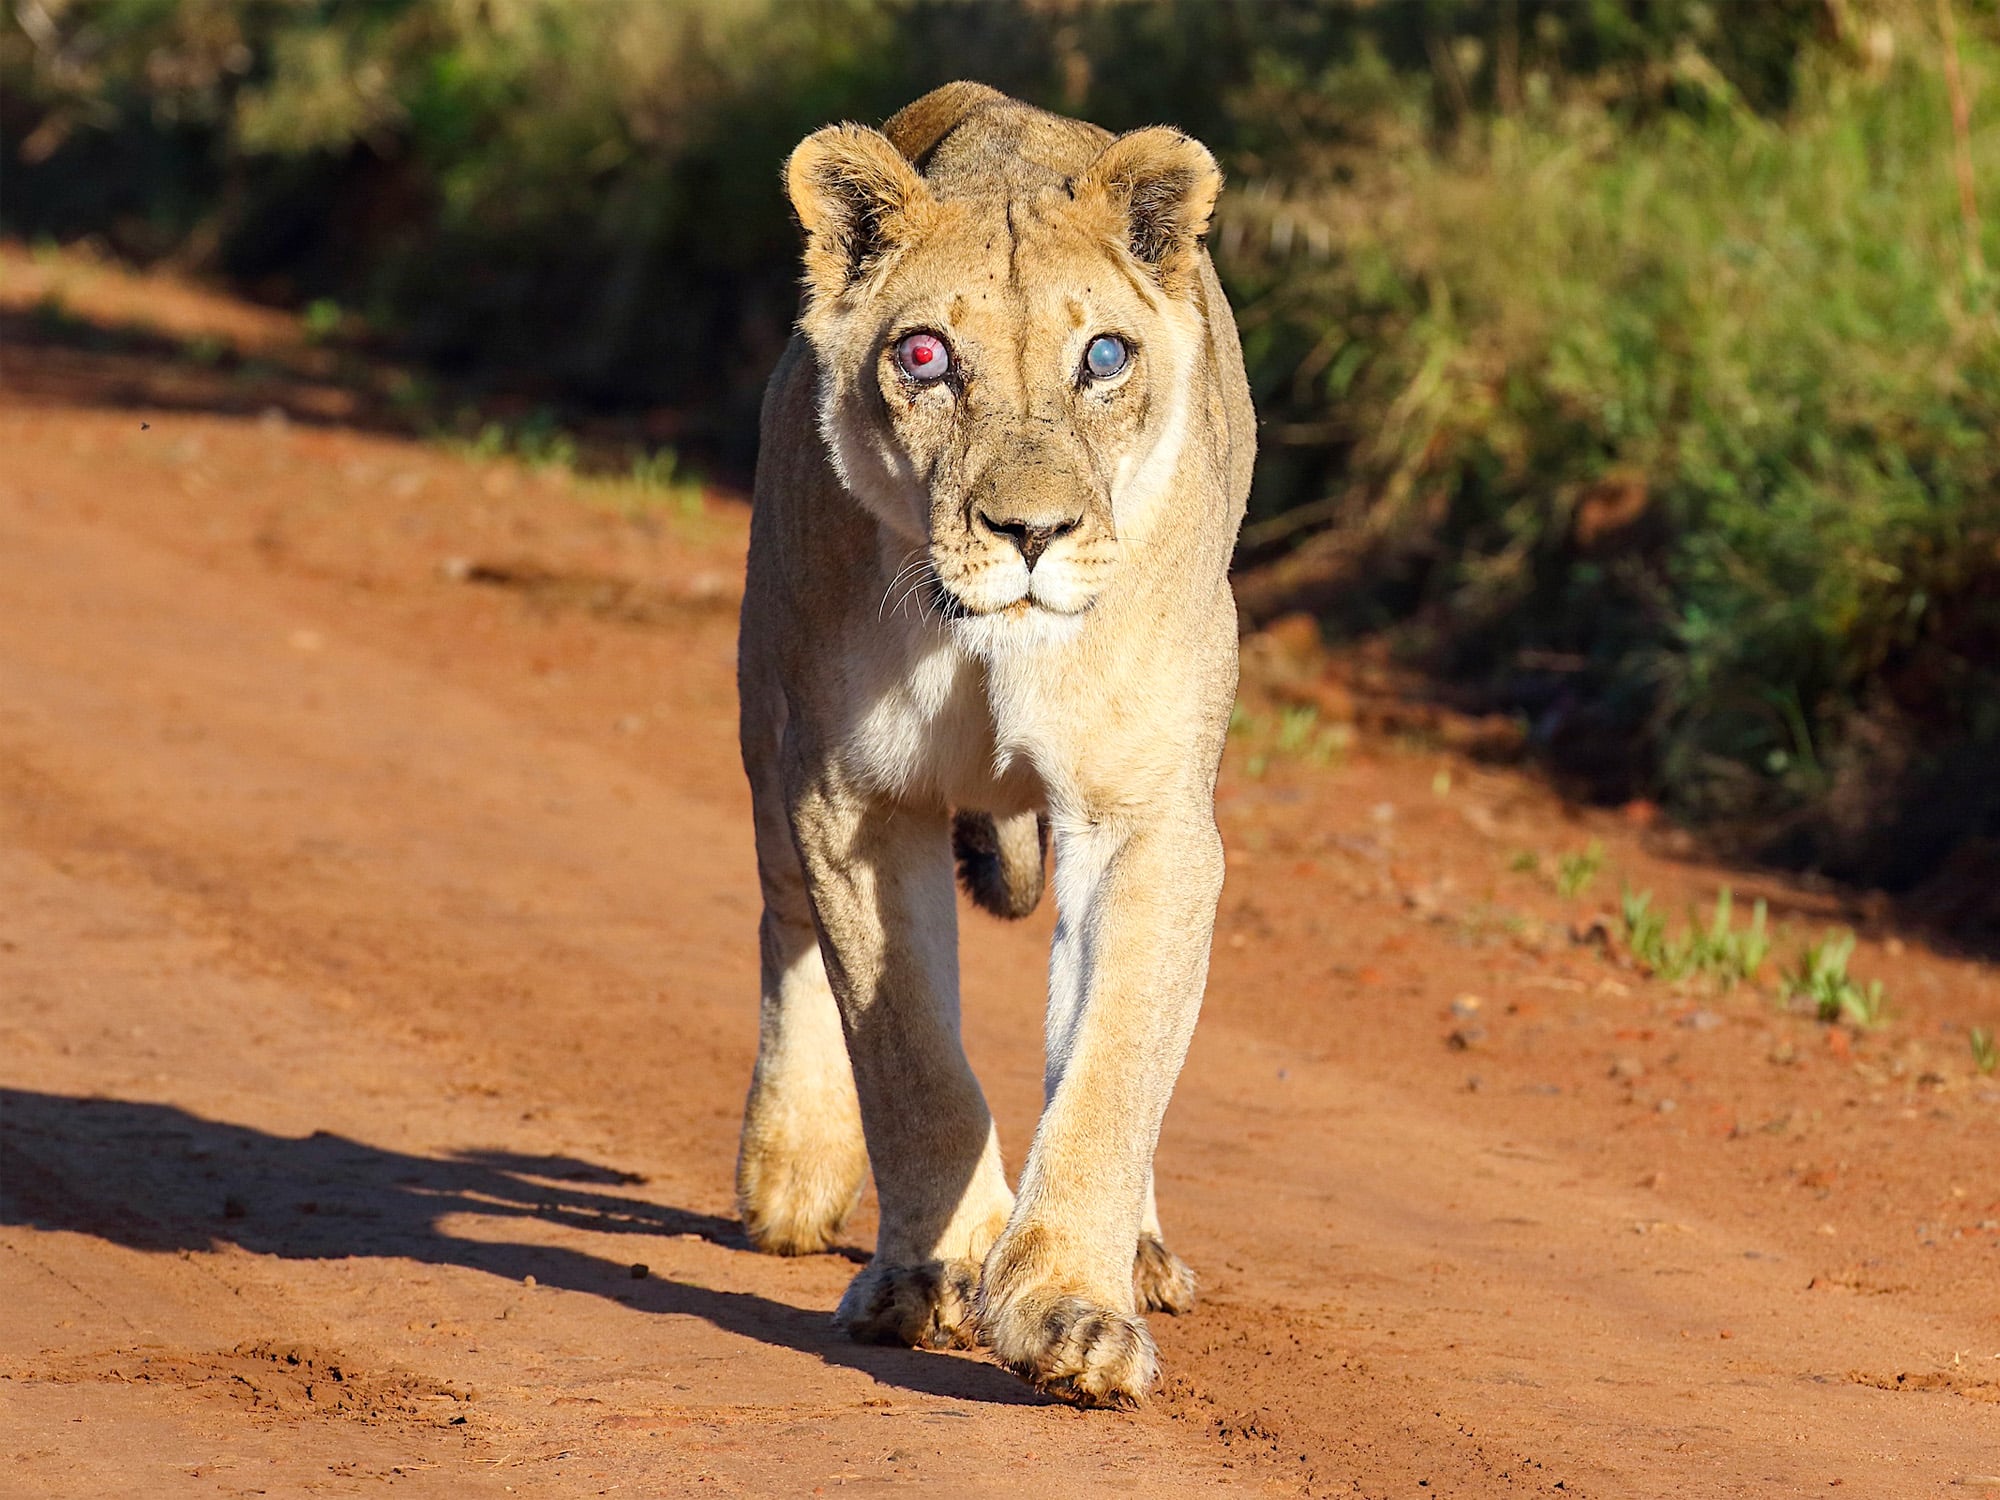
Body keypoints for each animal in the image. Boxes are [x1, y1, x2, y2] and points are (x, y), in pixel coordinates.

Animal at [734, 81, 1253, 1407]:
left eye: (1102, 358)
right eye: (924, 356)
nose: (1029, 533)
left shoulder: (1141, 818)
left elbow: (1111, 1063)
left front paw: (1071, 1310)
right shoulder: (850, 801)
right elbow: (910, 1056)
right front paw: (938, 1270)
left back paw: (1137, 1252)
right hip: (768, 720)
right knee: (784, 927)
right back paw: (790, 1174)